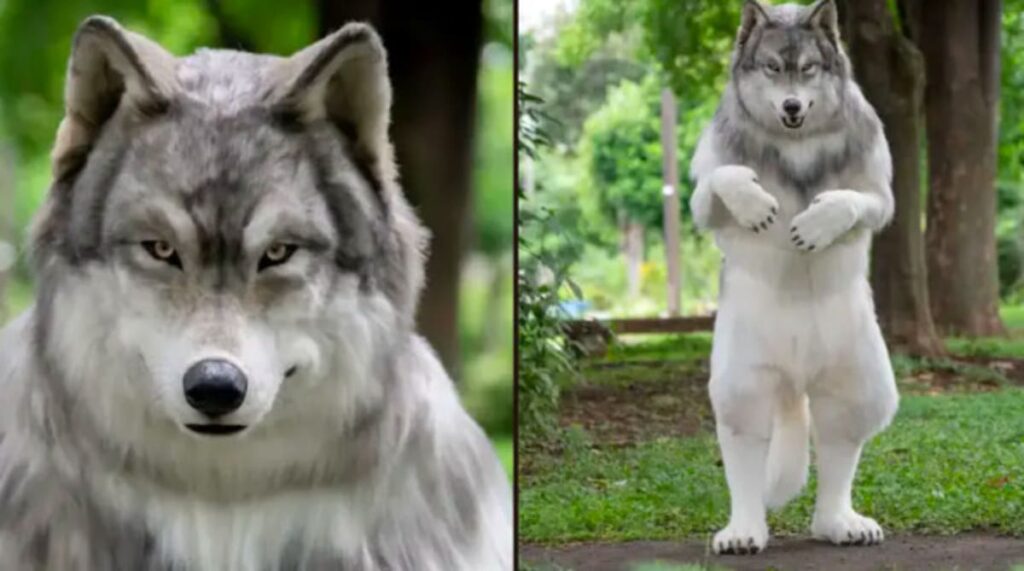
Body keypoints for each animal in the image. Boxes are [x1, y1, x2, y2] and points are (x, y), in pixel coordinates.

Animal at [689, 0, 898, 555]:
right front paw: (752, 201)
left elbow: (862, 200)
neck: (795, 140)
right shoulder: (709, 181)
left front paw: (822, 220)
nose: (791, 107)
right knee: (744, 433)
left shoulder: (875, 181)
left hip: (856, 364)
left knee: (842, 430)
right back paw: (745, 529)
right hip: (745, 367)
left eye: (808, 69)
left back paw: (838, 522)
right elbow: (719, 181)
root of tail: (797, 372)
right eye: (771, 68)